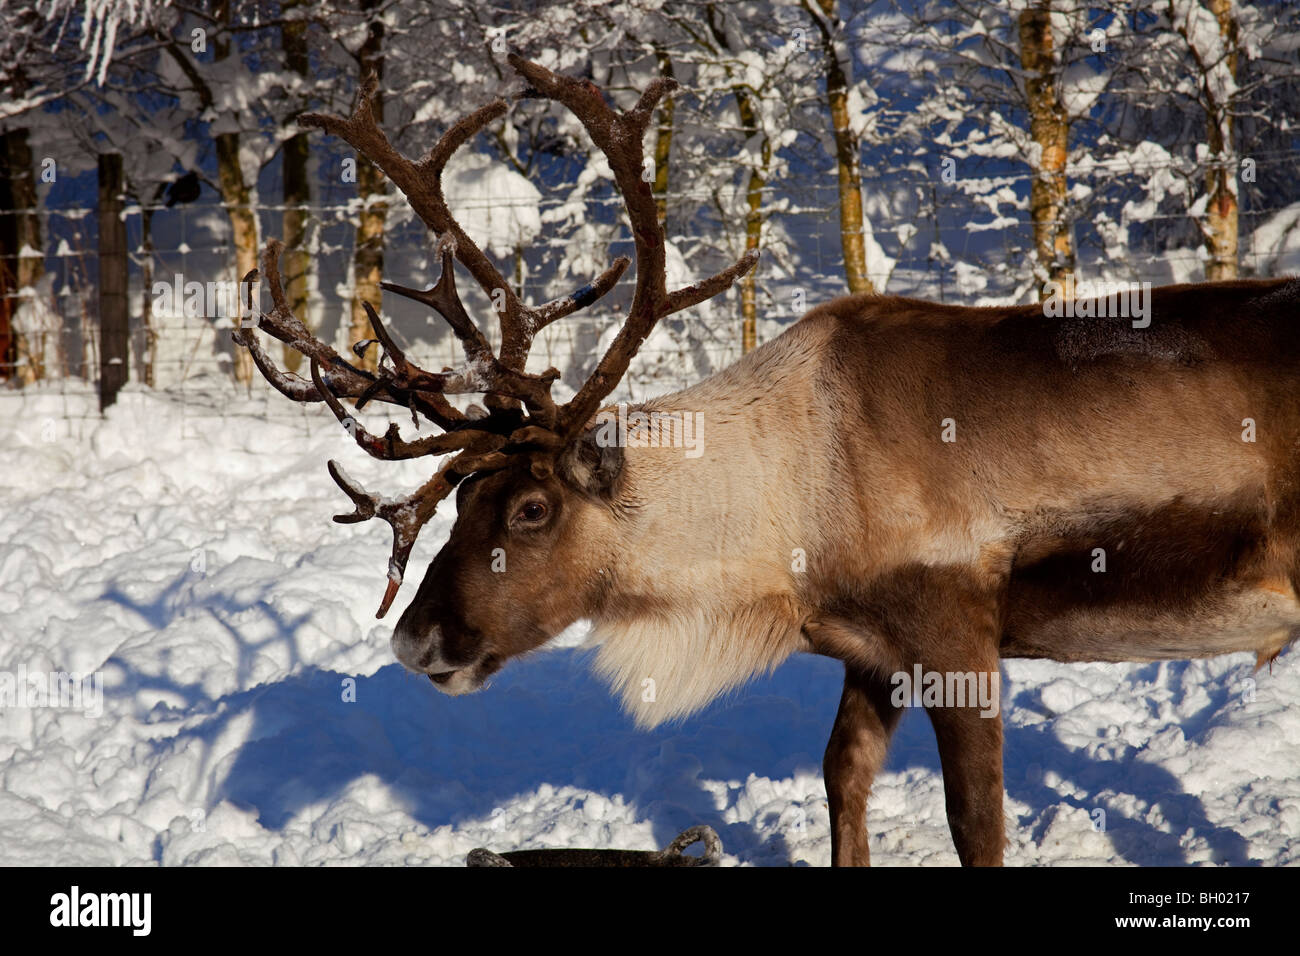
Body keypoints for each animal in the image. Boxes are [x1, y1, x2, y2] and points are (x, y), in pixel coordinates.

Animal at [235, 55, 1300, 866]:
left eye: (533, 509)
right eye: (462, 500)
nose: (416, 642)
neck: (784, 528)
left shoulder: (958, 628)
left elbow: (976, 826)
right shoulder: (873, 653)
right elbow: (842, 784)